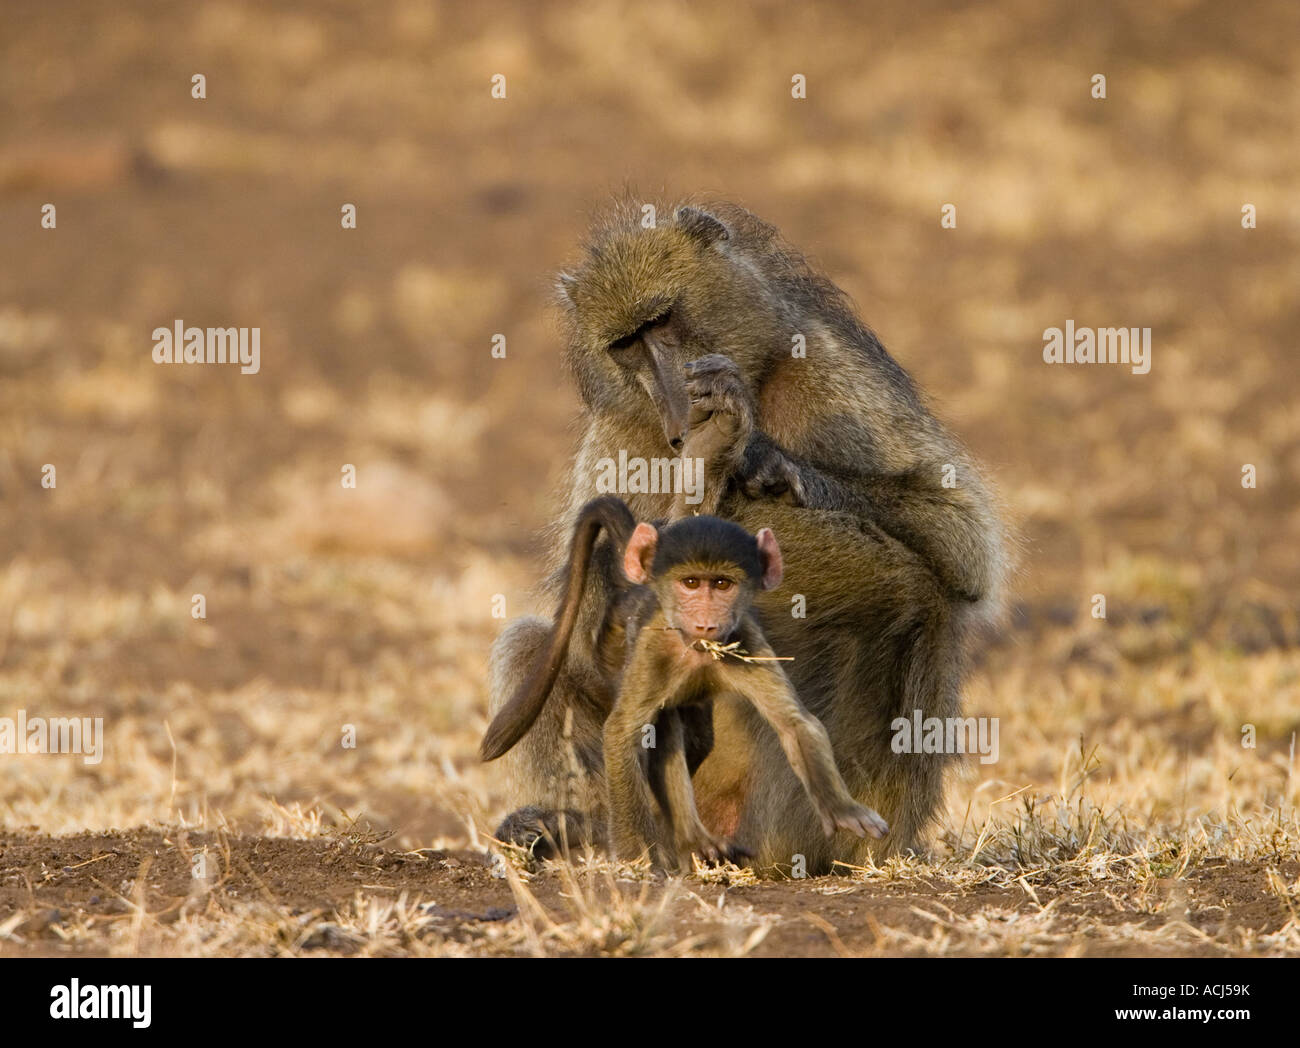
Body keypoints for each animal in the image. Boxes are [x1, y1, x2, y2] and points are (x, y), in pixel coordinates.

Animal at [480, 496, 887, 869]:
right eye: (691, 583)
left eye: (722, 584)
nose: (706, 623)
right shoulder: (651, 650)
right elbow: (623, 731)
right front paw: (638, 857)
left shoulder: (746, 643)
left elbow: (796, 725)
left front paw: (844, 810)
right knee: (663, 729)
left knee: (693, 735)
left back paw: (693, 840)